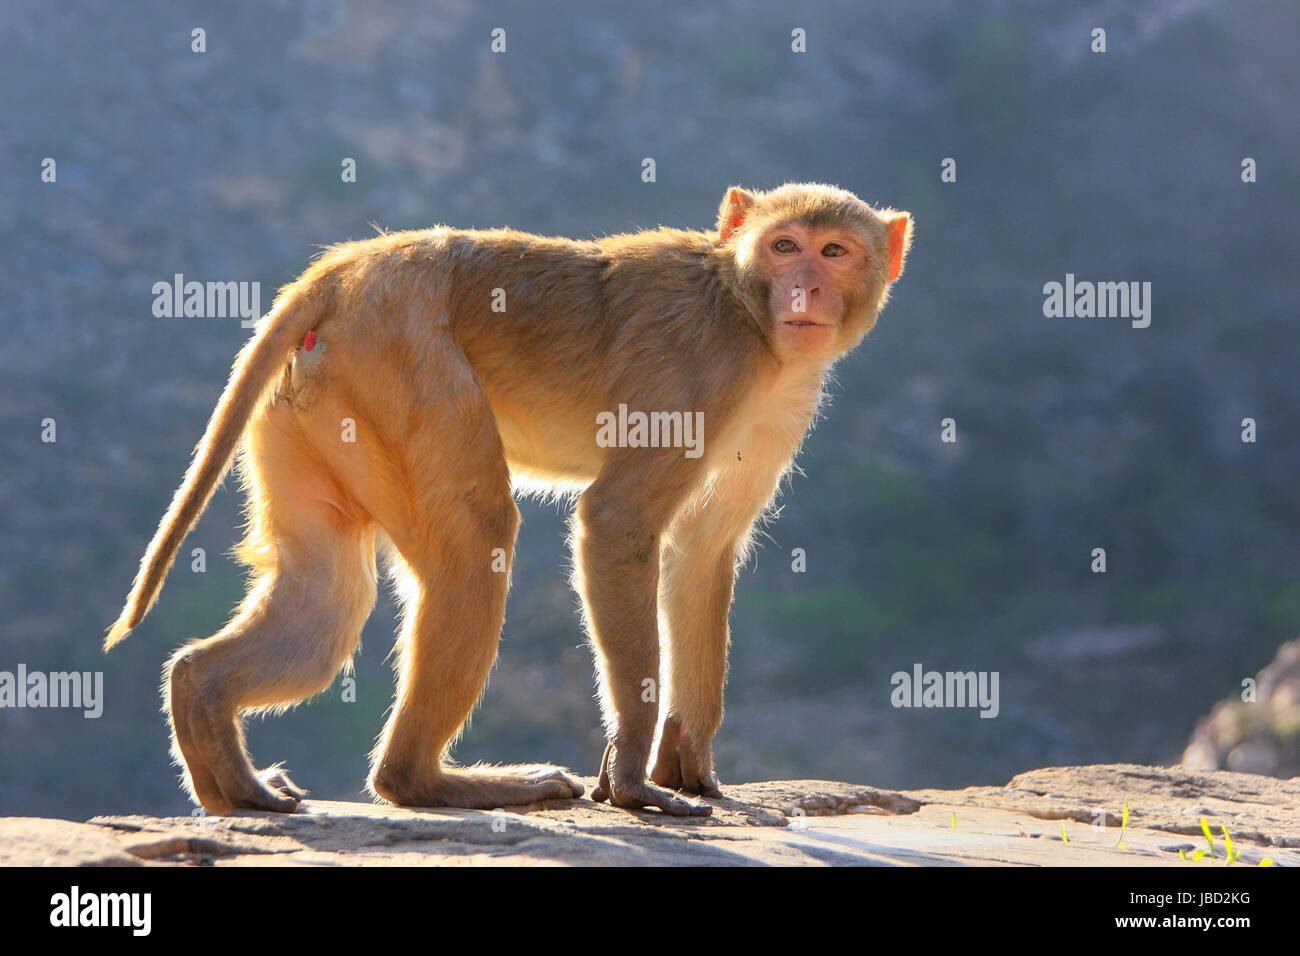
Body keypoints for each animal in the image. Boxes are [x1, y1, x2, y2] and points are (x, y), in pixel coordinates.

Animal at [104, 182, 911, 817]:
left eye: (833, 251)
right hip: (403, 364)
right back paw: (428, 781)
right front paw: (631, 777)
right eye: (784, 246)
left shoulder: (778, 410)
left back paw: (213, 724)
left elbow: (703, 550)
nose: (805, 290)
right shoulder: (703, 370)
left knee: (327, 592)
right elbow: (617, 523)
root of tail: (347, 268)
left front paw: (690, 761)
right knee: (476, 541)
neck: (747, 314)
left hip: (316, 403)